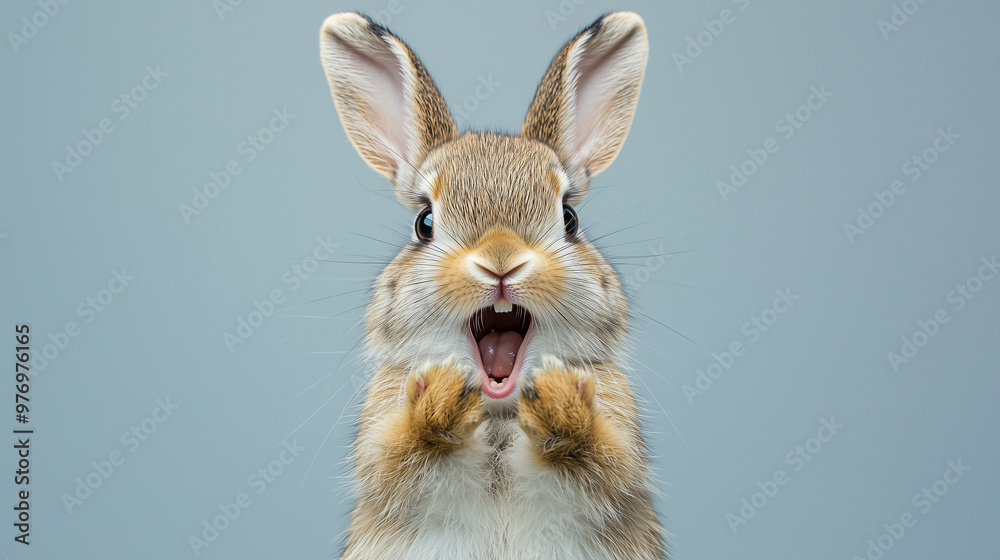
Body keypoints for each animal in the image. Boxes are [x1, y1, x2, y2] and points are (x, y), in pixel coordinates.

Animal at [318, 10, 664, 560]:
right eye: (424, 222)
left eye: (570, 218)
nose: (501, 262)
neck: (499, 413)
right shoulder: (380, 448)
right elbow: (395, 451)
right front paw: (439, 399)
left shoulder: (622, 448)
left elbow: (606, 458)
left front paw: (560, 403)